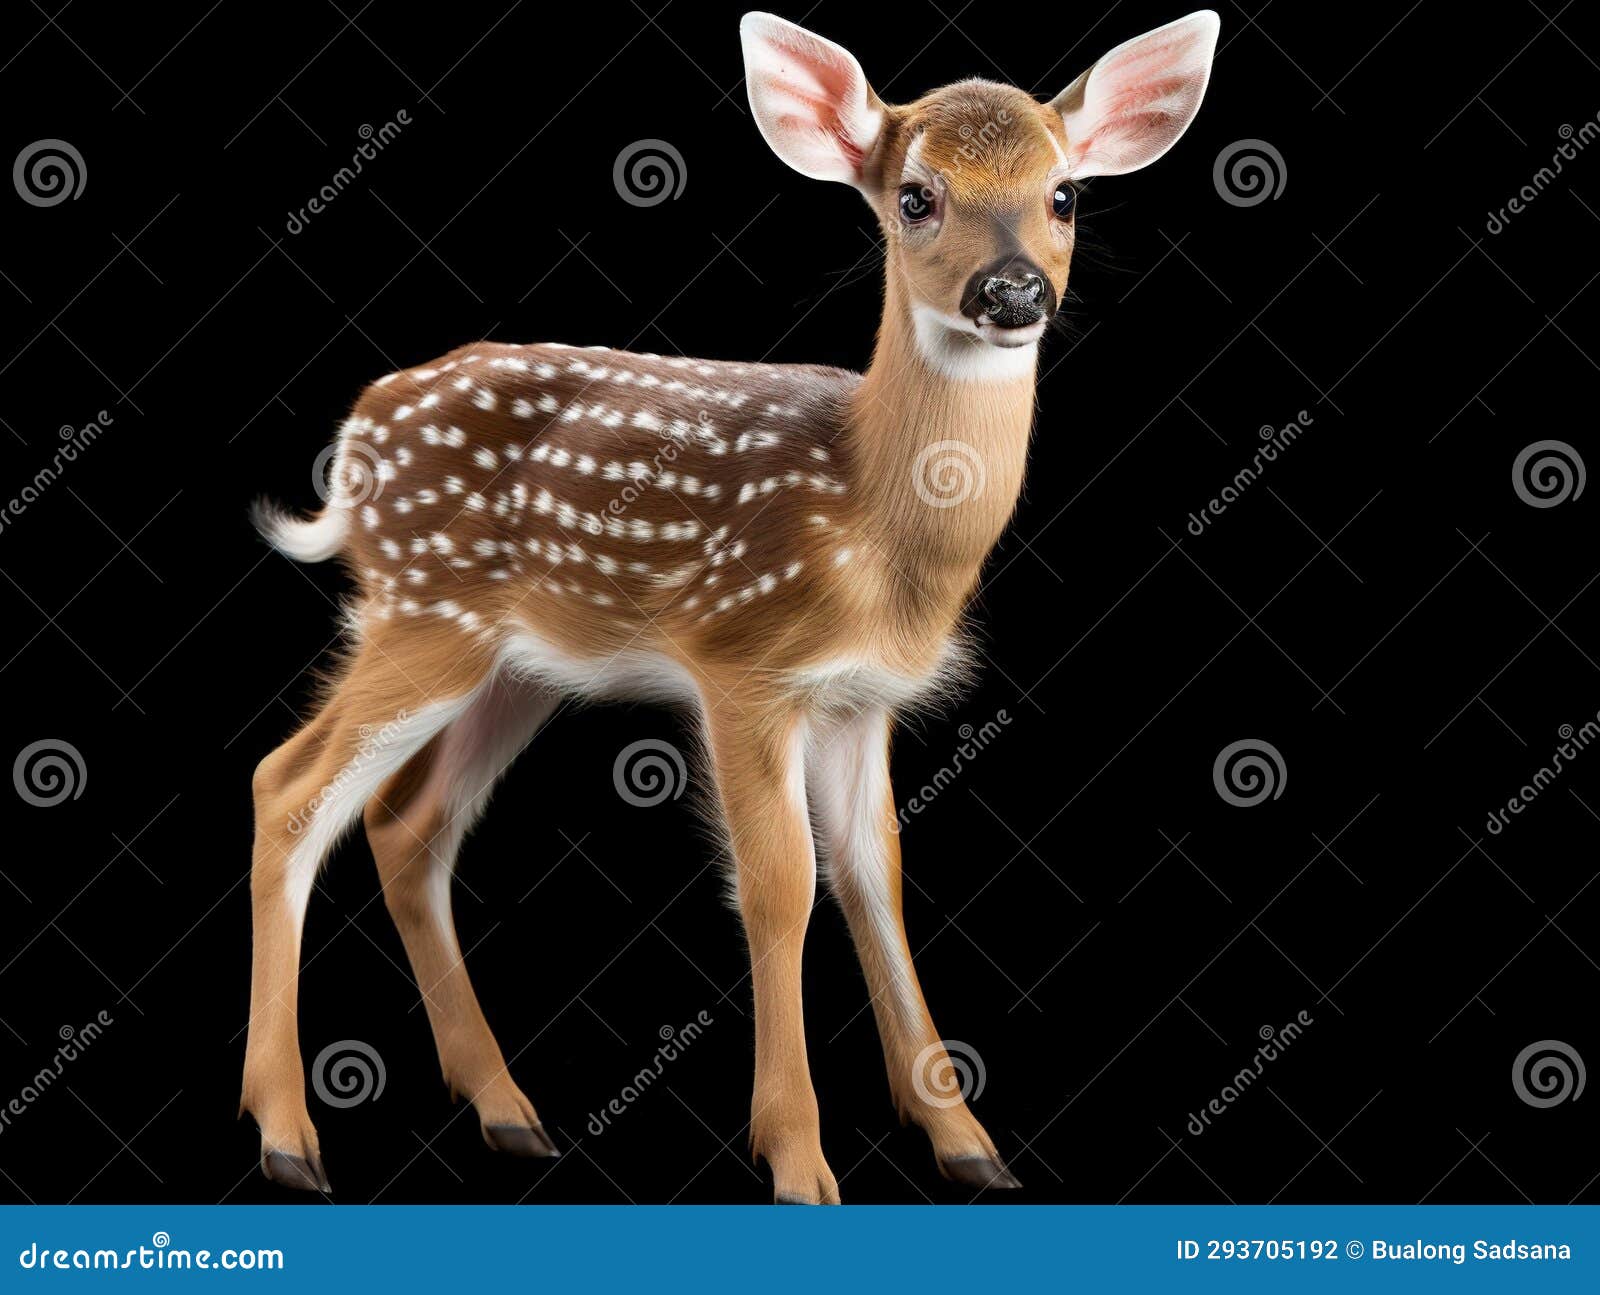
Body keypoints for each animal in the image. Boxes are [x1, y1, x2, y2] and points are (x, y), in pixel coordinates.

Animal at [241, 10, 1221, 1203]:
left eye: (1066, 194)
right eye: (916, 196)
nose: (1014, 291)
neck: (872, 523)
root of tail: (359, 435)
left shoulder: (859, 700)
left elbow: (876, 876)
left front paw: (967, 1142)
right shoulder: (741, 663)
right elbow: (780, 885)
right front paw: (799, 1157)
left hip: (515, 664)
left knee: (405, 821)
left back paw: (507, 1110)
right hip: (426, 612)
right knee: (287, 788)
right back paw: (288, 1134)